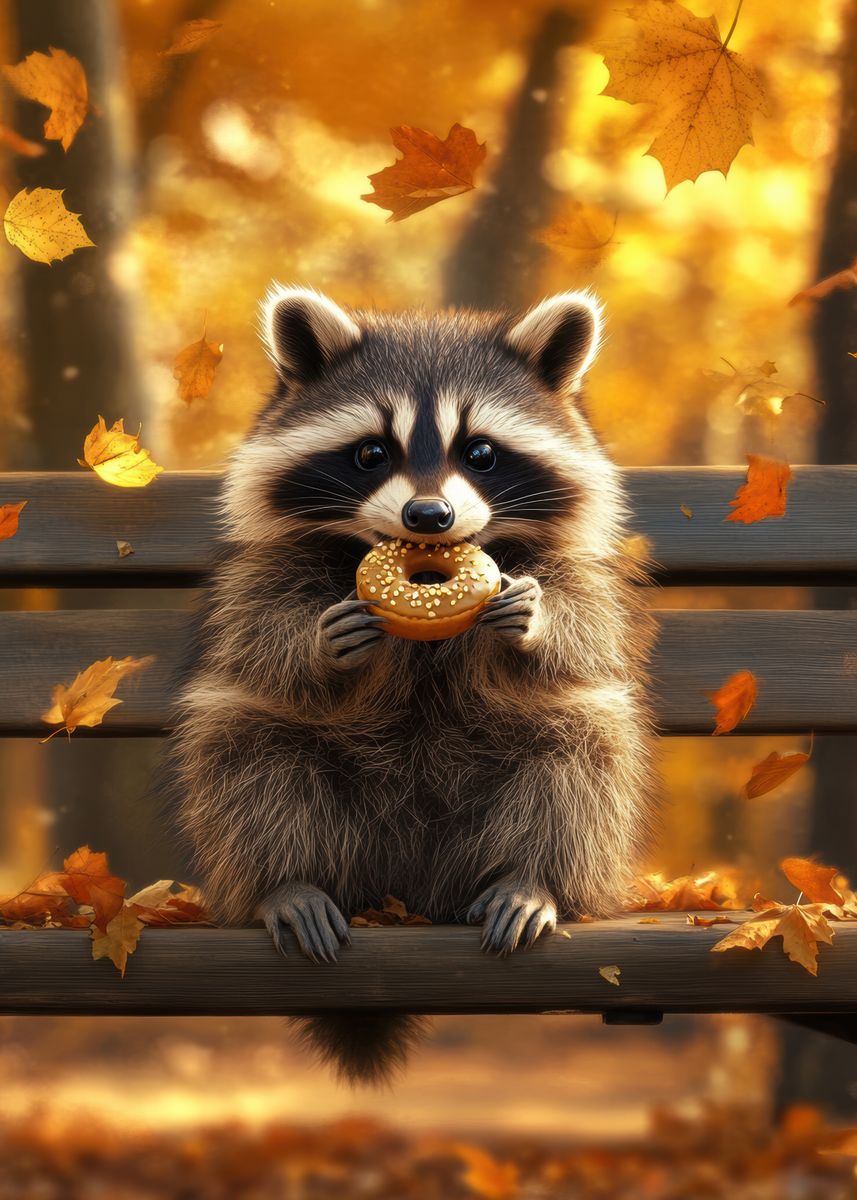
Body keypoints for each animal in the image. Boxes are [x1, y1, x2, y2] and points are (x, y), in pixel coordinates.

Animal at [167, 286, 657, 1085]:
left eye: (480, 452)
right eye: (372, 452)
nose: (428, 516)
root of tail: (413, 894)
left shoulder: (578, 573)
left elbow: (582, 638)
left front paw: (535, 619)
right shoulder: (262, 569)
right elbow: (260, 640)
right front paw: (322, 642)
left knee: (583, 755)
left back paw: (534, 880)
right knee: (246, 751)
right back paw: (285, 884)